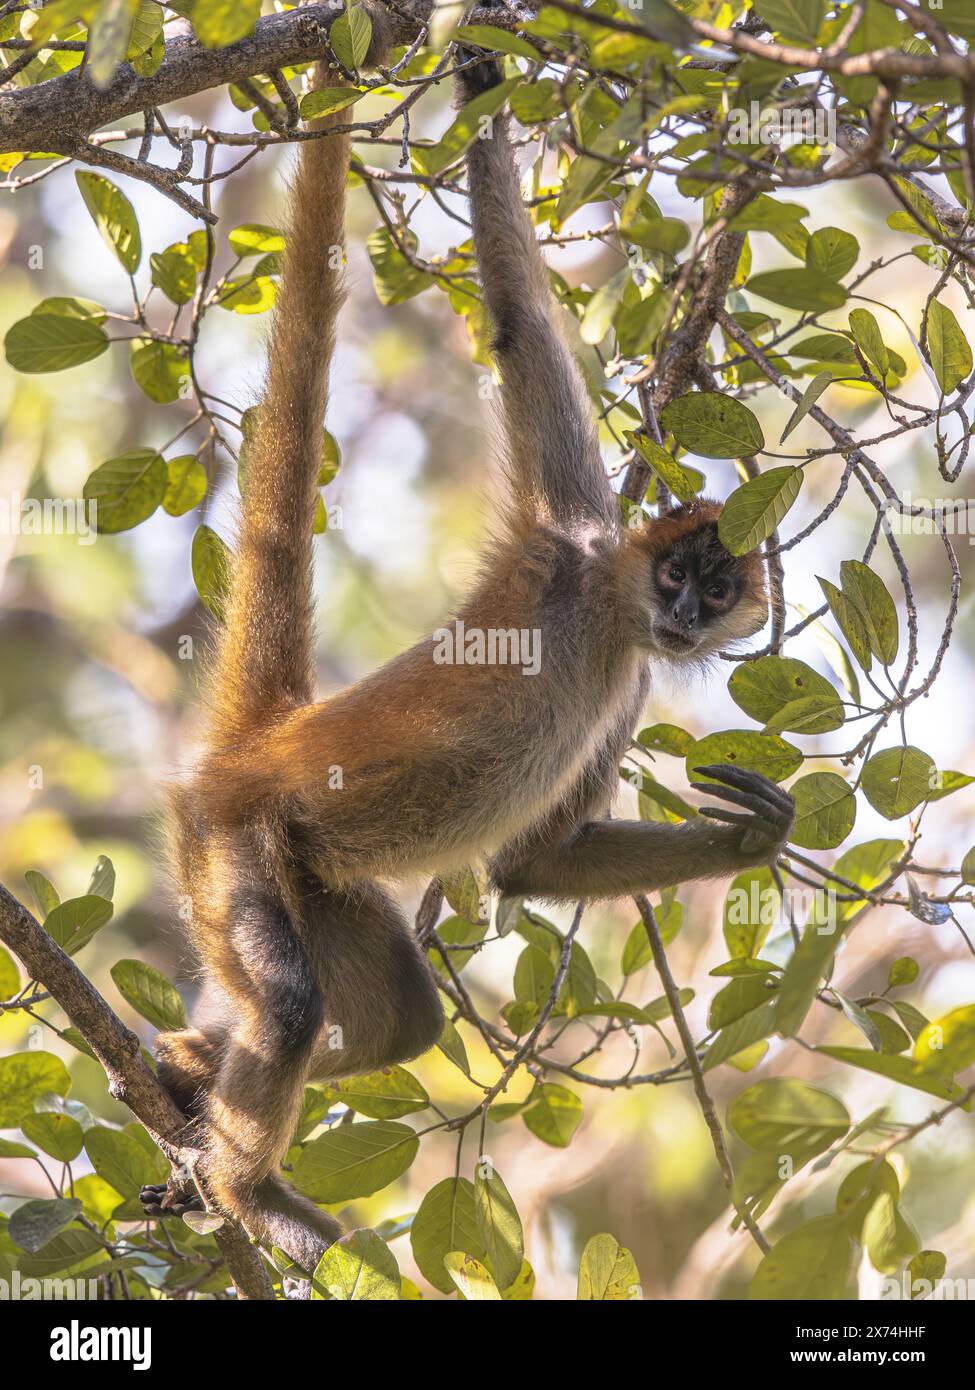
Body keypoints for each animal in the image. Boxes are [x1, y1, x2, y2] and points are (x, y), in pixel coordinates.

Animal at [140, 22, 794, 1278]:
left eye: (721, 585)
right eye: (677, 572)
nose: (692, 614)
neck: (610, 623)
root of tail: (270, 738)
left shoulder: (627, 682)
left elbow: (536, 865)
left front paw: (754, 836)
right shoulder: (572, 546)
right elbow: (516, 325)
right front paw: (483, 77)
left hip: (314, 875)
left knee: (396, 1018)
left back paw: (196, 1066)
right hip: (228, 838)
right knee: (289, 1006)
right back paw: (249, 1188)